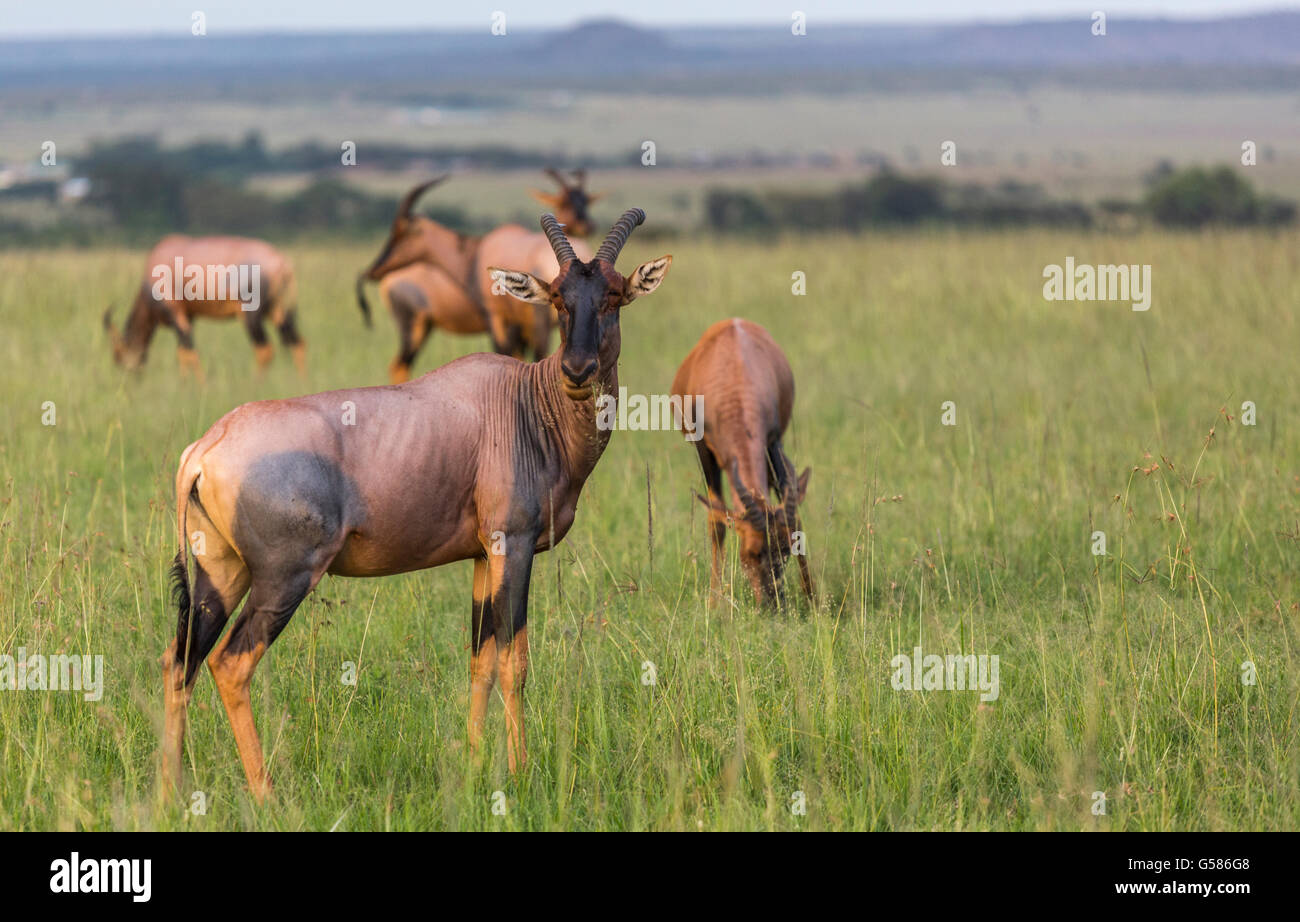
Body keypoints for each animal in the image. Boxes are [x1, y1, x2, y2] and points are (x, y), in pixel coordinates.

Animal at [105, 235, 304, 378]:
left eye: (118, 356)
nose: (134, 379)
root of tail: (283, 264)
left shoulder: (176, 314)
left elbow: (190, 352)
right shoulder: (188, 317)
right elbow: (183, 353)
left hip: (250, 315)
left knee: (265, 351)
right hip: (278, 311)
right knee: (297, 343)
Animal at [162, 209, 671, 800]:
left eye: (612, 296)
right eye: (558, 298)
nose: (577, 370)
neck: (523, 403)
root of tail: (206, 447)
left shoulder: (483, 556)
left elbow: (481, 659)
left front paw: (474, 764)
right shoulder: (515, 546)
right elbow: (515, 660)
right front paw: (519, 774)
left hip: (219, 573)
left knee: (179, 662)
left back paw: (168, 792)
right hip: (284, 578)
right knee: (230, 665)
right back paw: (266, 795)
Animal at [671, 318, 814, 606]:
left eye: (785, 550)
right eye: (750, 552)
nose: (773, 606)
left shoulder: (772, 440)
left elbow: (792, 506)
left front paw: (813, 598)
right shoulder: (704, 451)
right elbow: (716, 519)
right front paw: (714, 604)